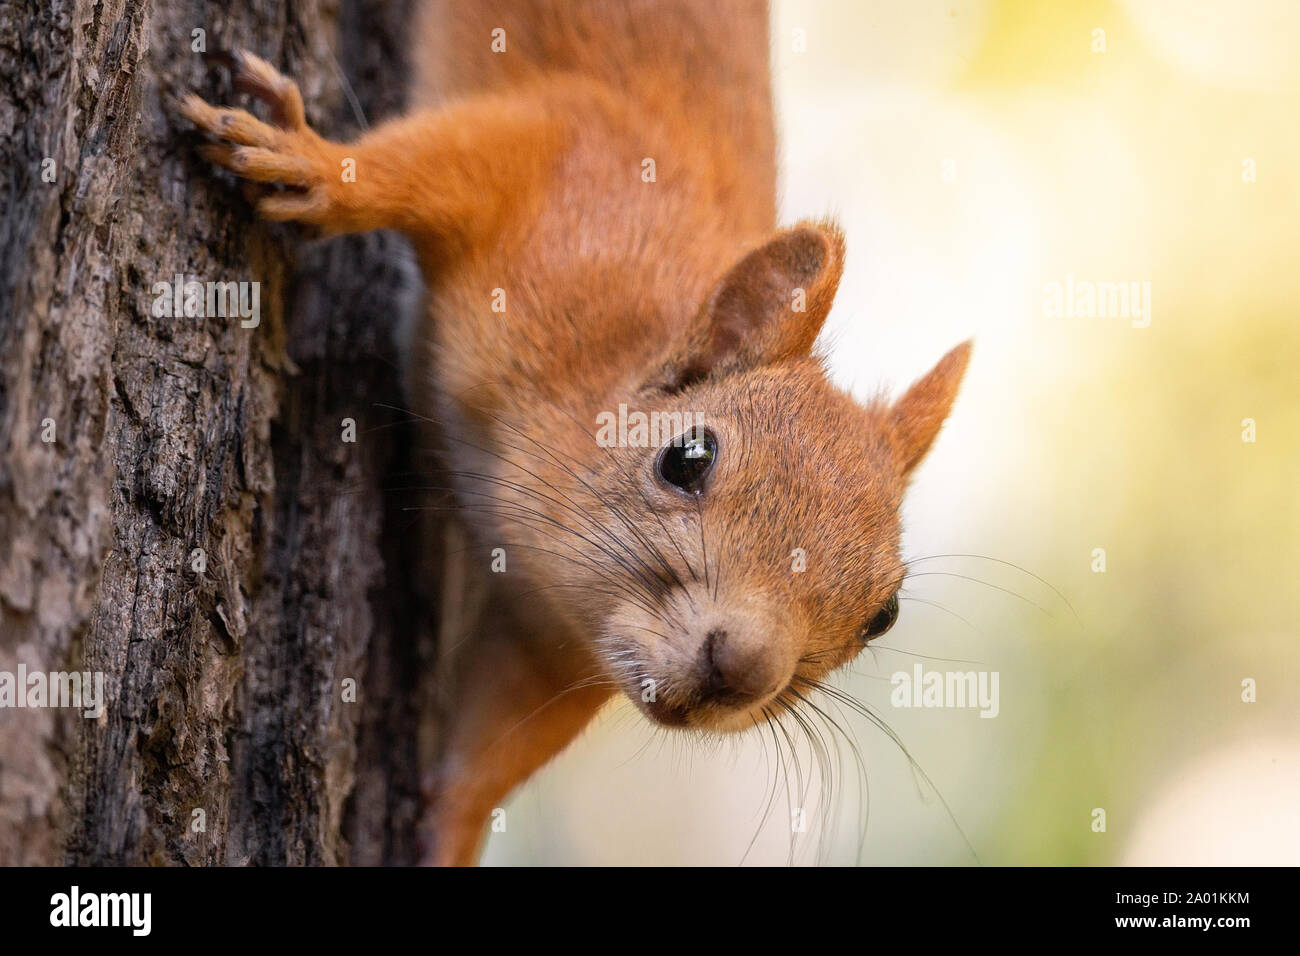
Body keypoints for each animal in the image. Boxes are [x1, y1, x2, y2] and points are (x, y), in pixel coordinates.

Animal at [179, 0, 971, 865]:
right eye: (687, 458)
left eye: (882, 615)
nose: (739, 671)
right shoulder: (559, 167)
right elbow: (428, 163)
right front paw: (309, 160)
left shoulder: (550, 643)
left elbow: (495, 748)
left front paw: (449, 831)